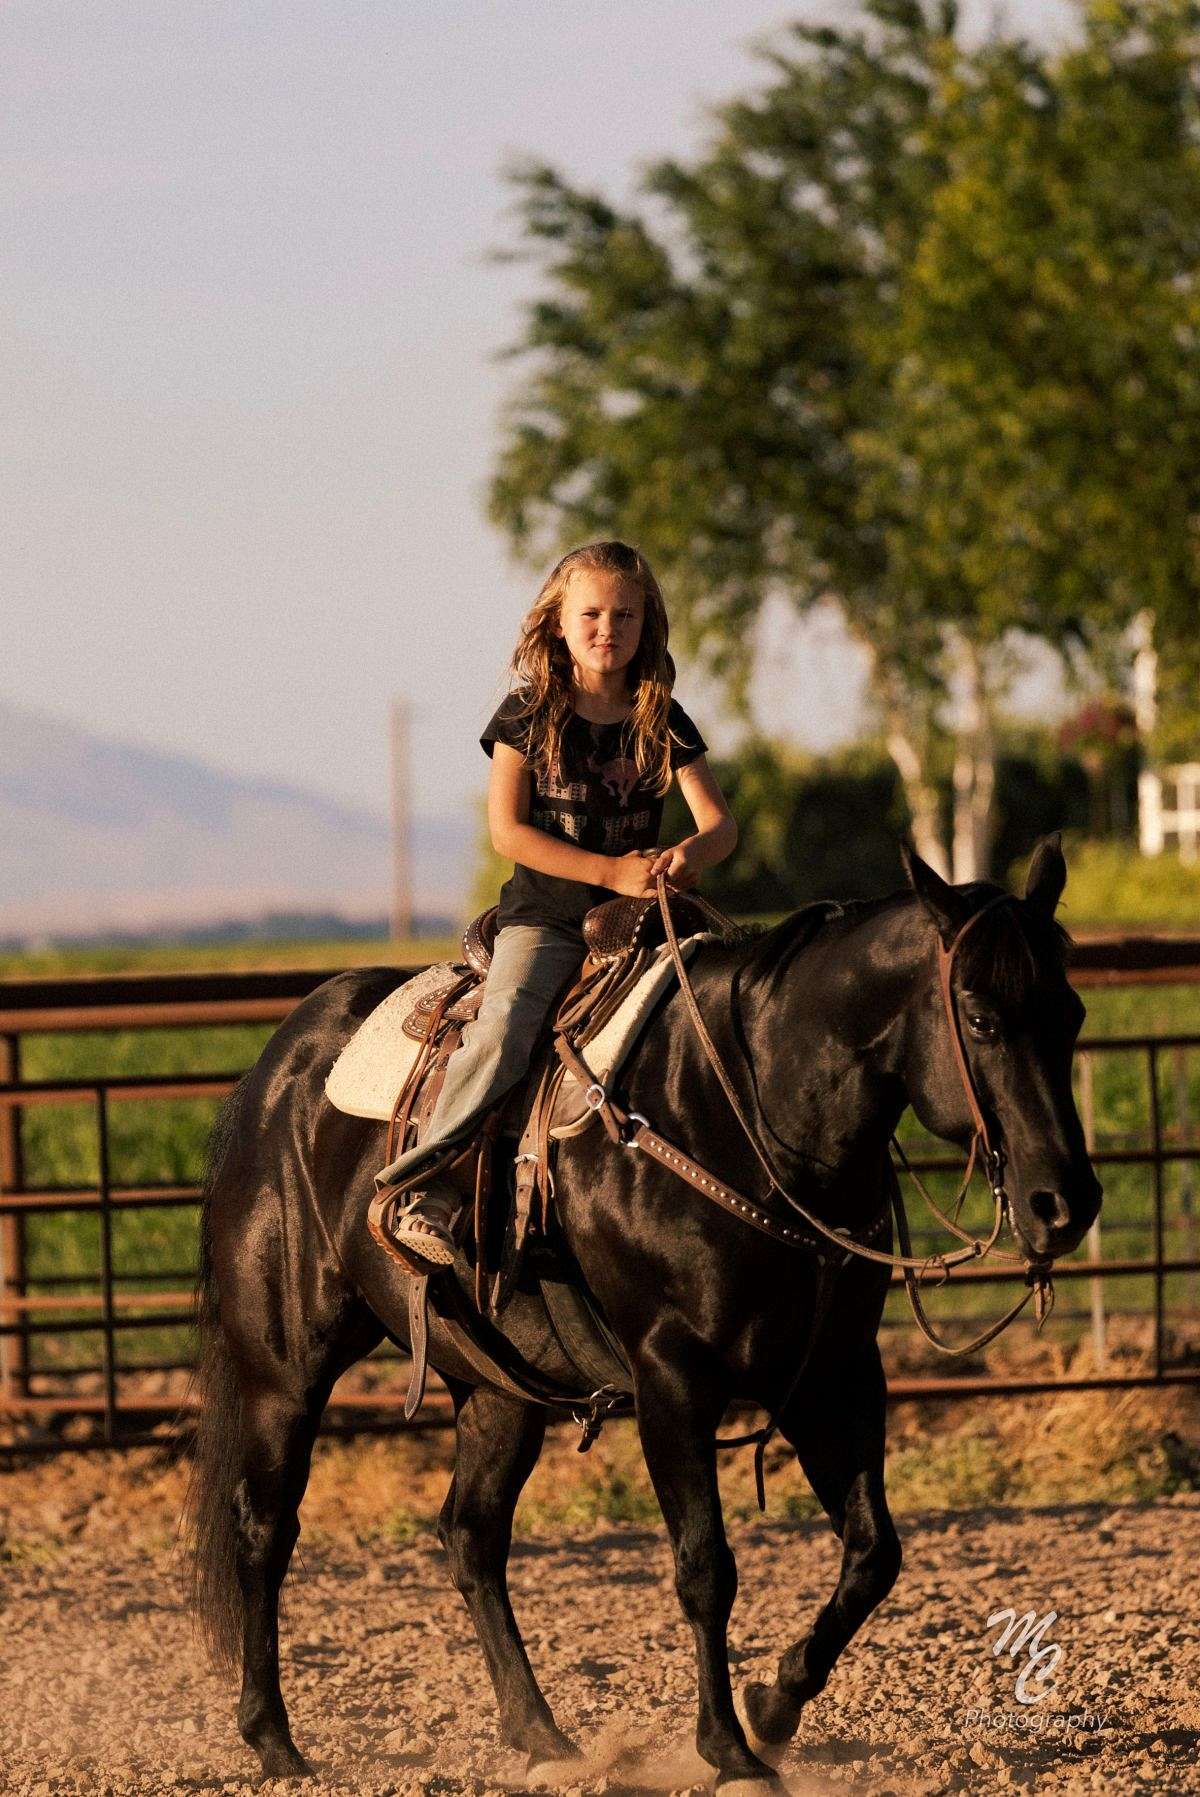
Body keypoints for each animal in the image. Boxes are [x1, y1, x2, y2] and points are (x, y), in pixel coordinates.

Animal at [184, 838, 1101, 1792]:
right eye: (981, 1017)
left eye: (1070, 1011)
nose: (1064, 1203)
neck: (743, 1114)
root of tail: (281, 1065)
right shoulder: (673, 1377)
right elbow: (705, 1566)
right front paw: (729, 1748)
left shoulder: (834, 1375)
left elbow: (873, 1551)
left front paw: (773, 1707)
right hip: (285, 1368)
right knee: (264, 1527)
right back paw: (275, 1739)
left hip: (500, 1390)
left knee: (471, 1533)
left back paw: (539, 1734)